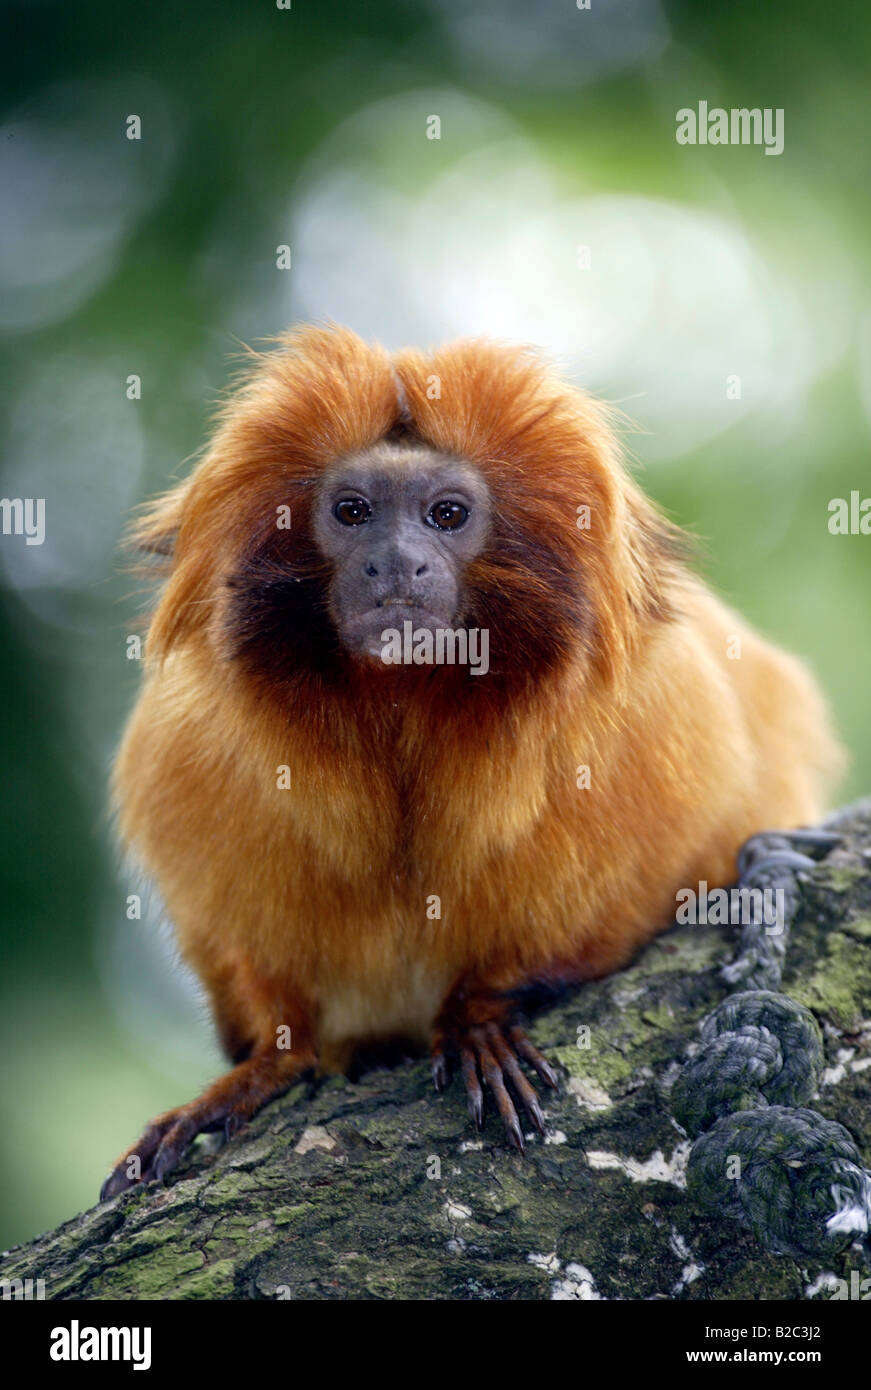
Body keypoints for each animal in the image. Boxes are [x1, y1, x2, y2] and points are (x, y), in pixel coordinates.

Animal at [100, 324, 844, 1198]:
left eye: (446, 515)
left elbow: (619, 902)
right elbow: (253, 960)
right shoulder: (188, 749)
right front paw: (266, 1066)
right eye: (352, 513)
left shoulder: (651, 721)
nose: (396, 562)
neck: (404, 704)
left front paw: (478, 1014)